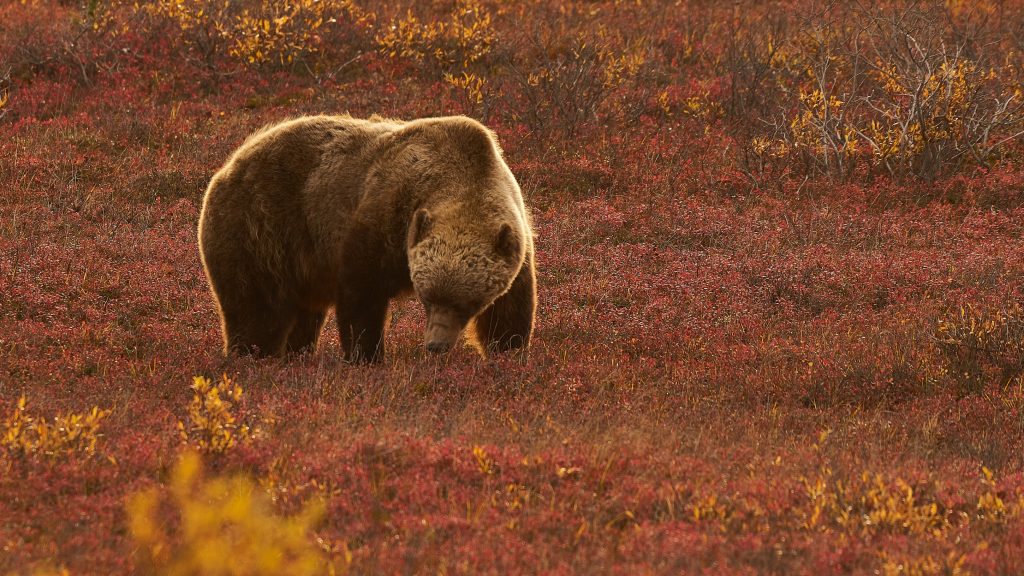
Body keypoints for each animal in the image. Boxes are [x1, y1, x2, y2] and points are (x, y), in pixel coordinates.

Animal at [197, 114, 536, 363]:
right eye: (428, 297)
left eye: (467, 302)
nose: (436, 345)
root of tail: (229, 164)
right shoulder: (383, 217)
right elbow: (361, 294)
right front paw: (366, 356)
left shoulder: (517, 241)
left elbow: (511, 308)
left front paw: (508, 351)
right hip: (261, 232)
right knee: (256, 309)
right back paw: (252, 356)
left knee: (303, 316)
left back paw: (298, 354)